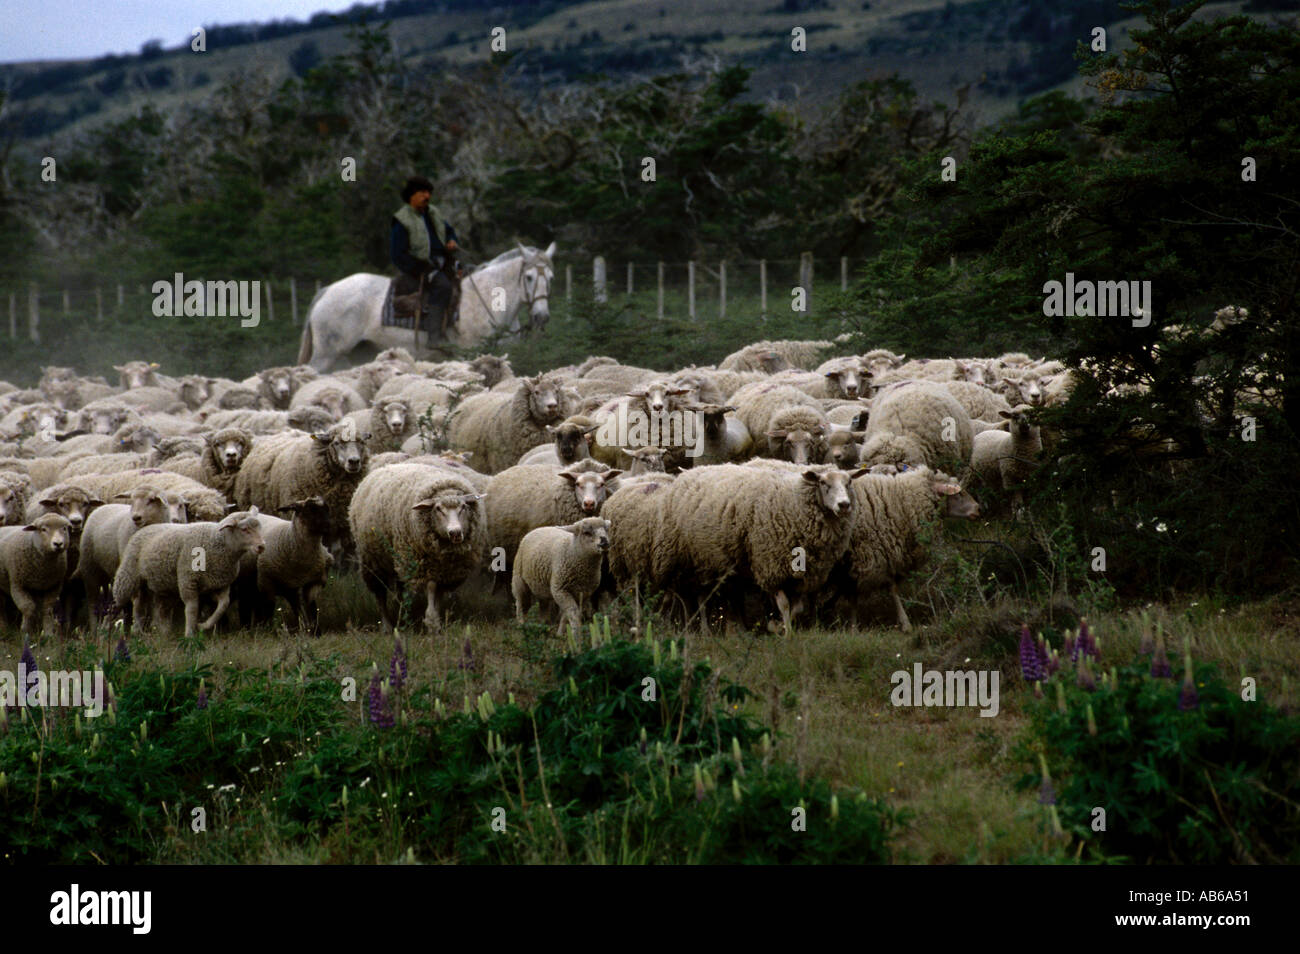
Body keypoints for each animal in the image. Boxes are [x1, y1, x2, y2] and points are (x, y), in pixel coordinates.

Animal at [73, 485, 188, 620]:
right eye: (132, 500)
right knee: (93, 601)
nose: (136, 517)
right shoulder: (132, 570)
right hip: (90, 567)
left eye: (151, 500)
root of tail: (104, 506)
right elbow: (139, 604)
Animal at [112, 508, 265, 637]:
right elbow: (192, 608)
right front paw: (190, 635)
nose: (262, 546)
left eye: (259, 527)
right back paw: (115, 630)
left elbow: (223, 605)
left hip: (163, 585)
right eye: (244, 529)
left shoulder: (219, 584)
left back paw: (157, 633)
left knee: (154, 608)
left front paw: (204, 625)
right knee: (122, 602)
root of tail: (145, 528)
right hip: (128, 575)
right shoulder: (188, 581)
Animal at [348, 463, 486, 633]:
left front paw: (436, 620)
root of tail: (388, 466)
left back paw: (402, 617)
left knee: (400, 589)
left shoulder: (445, 570)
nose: (455, 533)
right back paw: (387, 626)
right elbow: (432, 587)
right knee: (380, 593)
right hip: (373, 560)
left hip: (399, 561)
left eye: (463, 507)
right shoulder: (425, 565)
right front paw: (432, 622)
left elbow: (439, 593)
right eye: (438, 509)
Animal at [828, 466, 980, 630]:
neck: (898, 502)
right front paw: (904, 623)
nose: (978, 509)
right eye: (958, 494)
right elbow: (880, 591)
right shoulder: (867, 556)